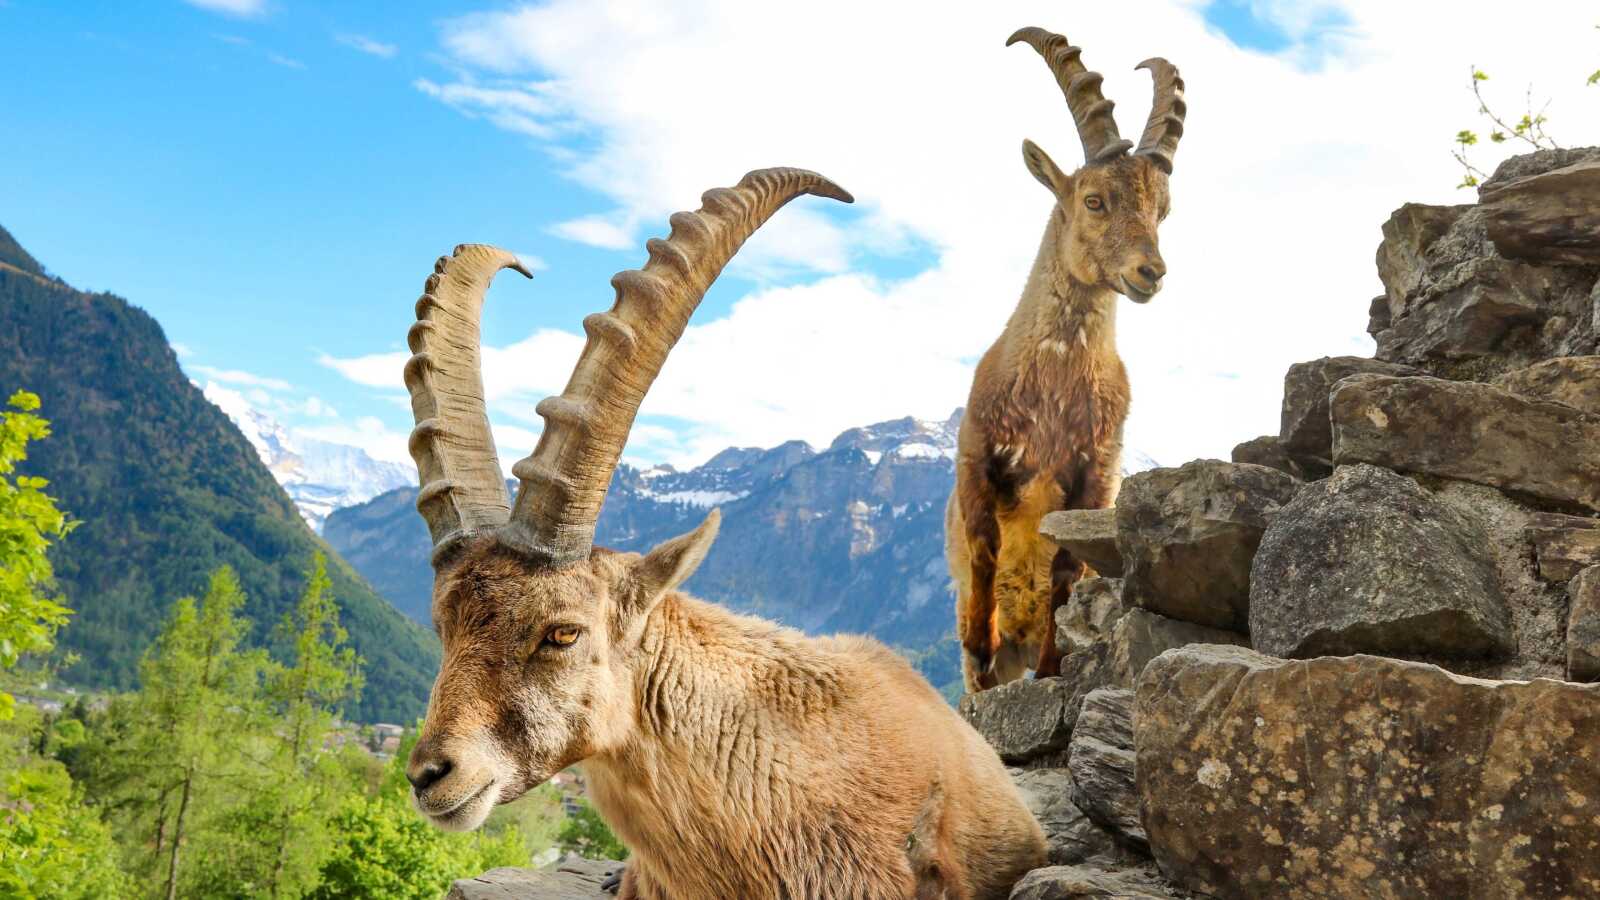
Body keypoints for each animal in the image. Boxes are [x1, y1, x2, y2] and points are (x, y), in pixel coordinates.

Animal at [949, 27, 1186, 693]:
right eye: (1095, 200)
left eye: (1162, 211)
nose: (1150, 273)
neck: (1050, 392)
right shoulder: (977, 453)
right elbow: (983, 546)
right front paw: (980, 642)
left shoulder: (1095, 476)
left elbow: (1064, 569)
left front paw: (1055, 665)